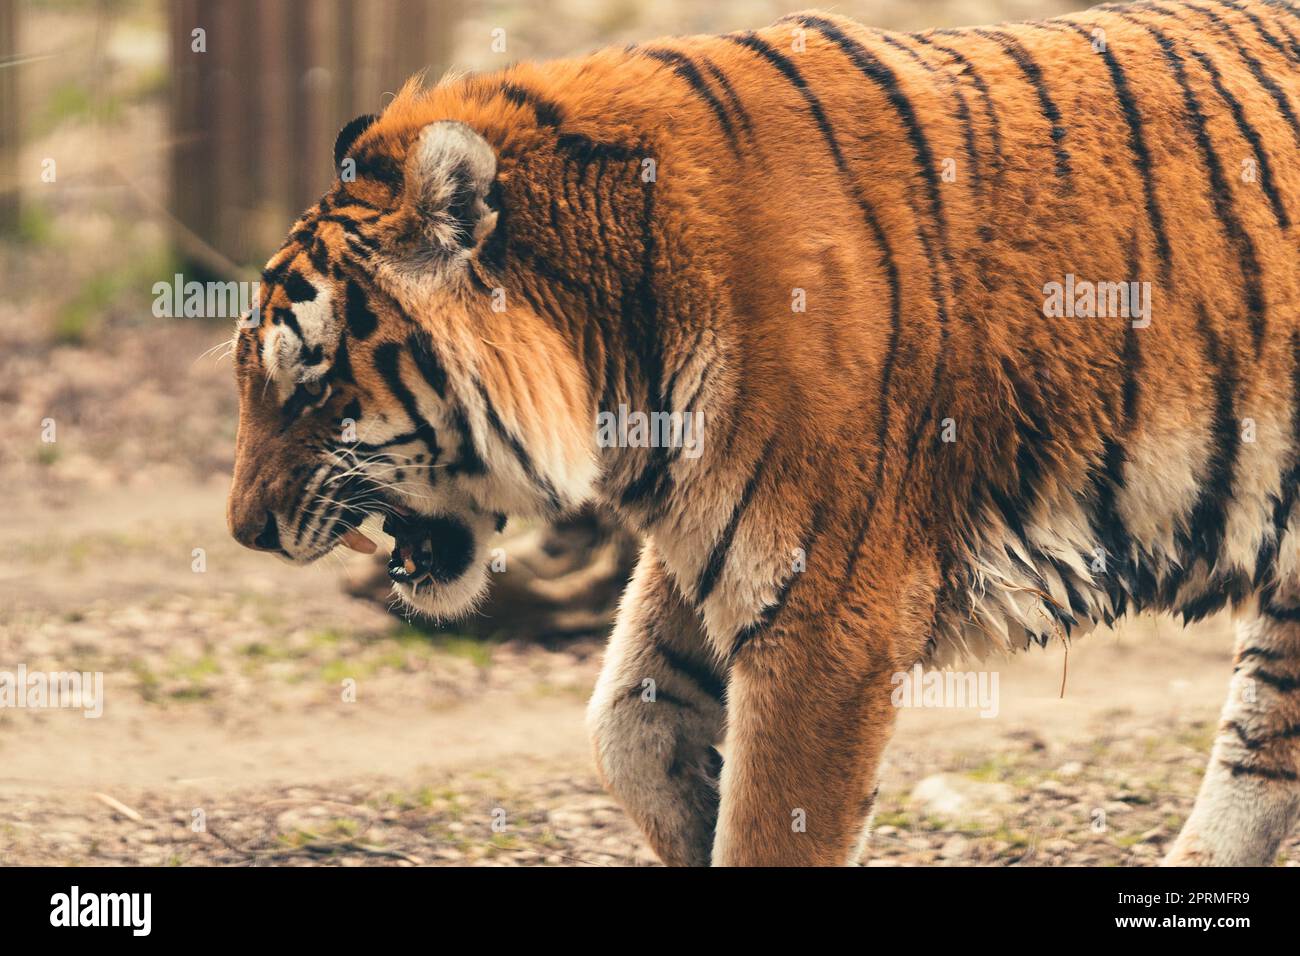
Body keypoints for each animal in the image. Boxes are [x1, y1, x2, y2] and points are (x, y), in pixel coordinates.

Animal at [227, 0, 1300, 866]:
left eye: (311, 378)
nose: (245, 532)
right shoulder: (718, 541)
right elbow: (626, 726)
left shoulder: (830, 610)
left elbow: (772, 823)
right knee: (1264, 748)